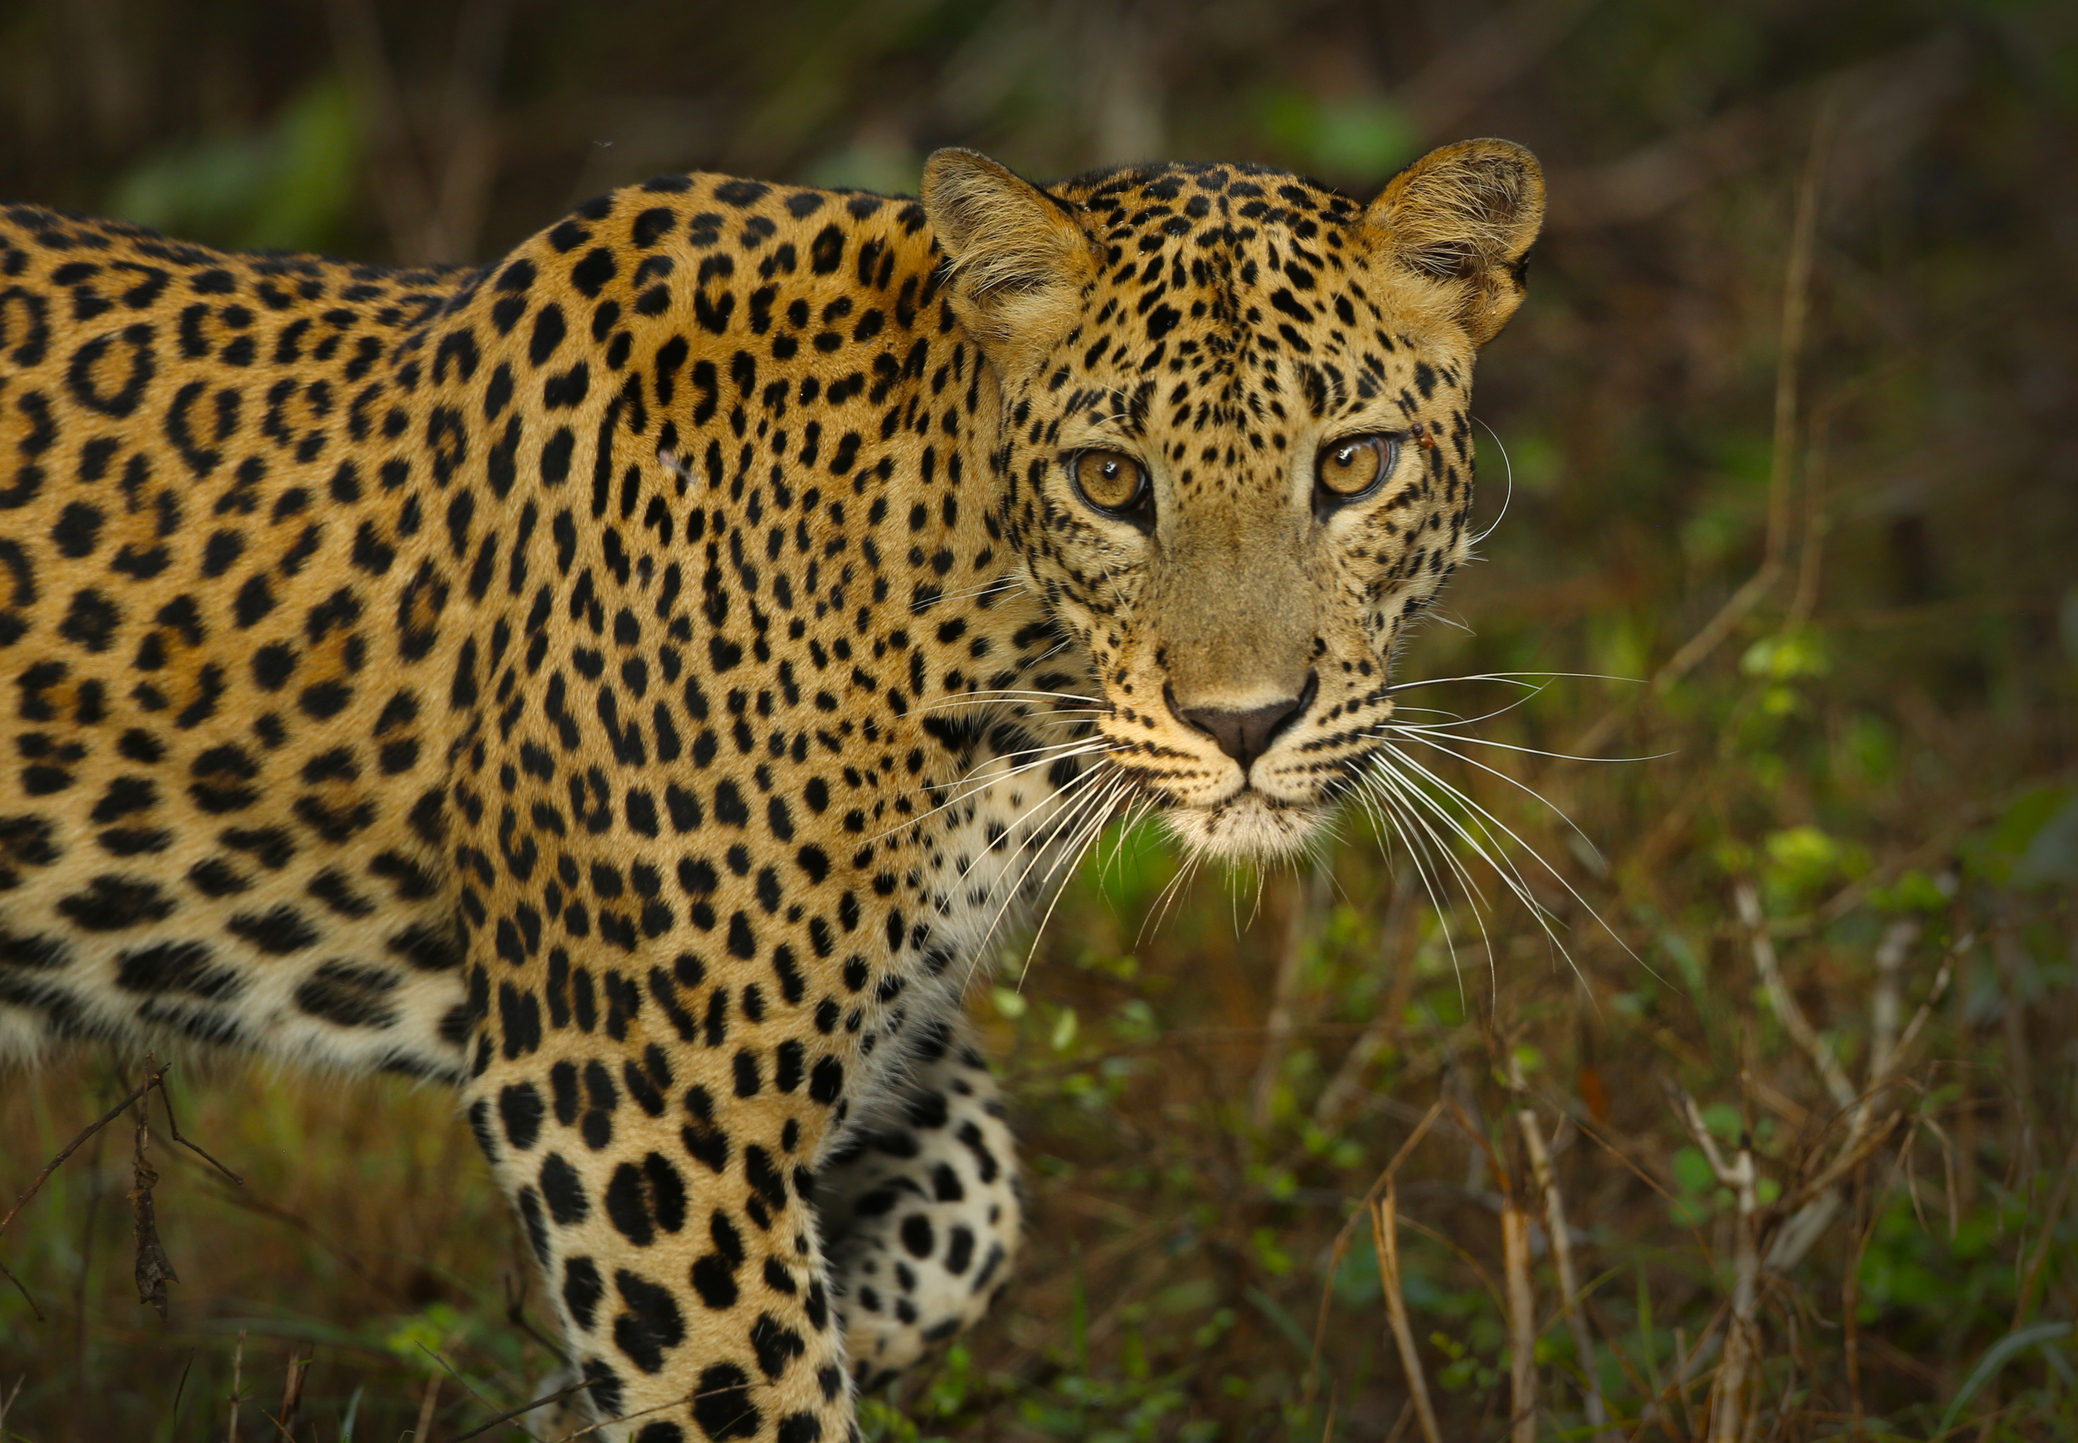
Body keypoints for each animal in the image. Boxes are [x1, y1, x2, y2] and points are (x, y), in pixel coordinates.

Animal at [0, 136, 1543, 1440]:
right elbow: (750, 1383)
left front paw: (565, 1401)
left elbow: (973, 1204)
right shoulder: (630, 1086)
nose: (1243, 723)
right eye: (1109, 479)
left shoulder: (857, 1032)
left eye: (1352, 465)